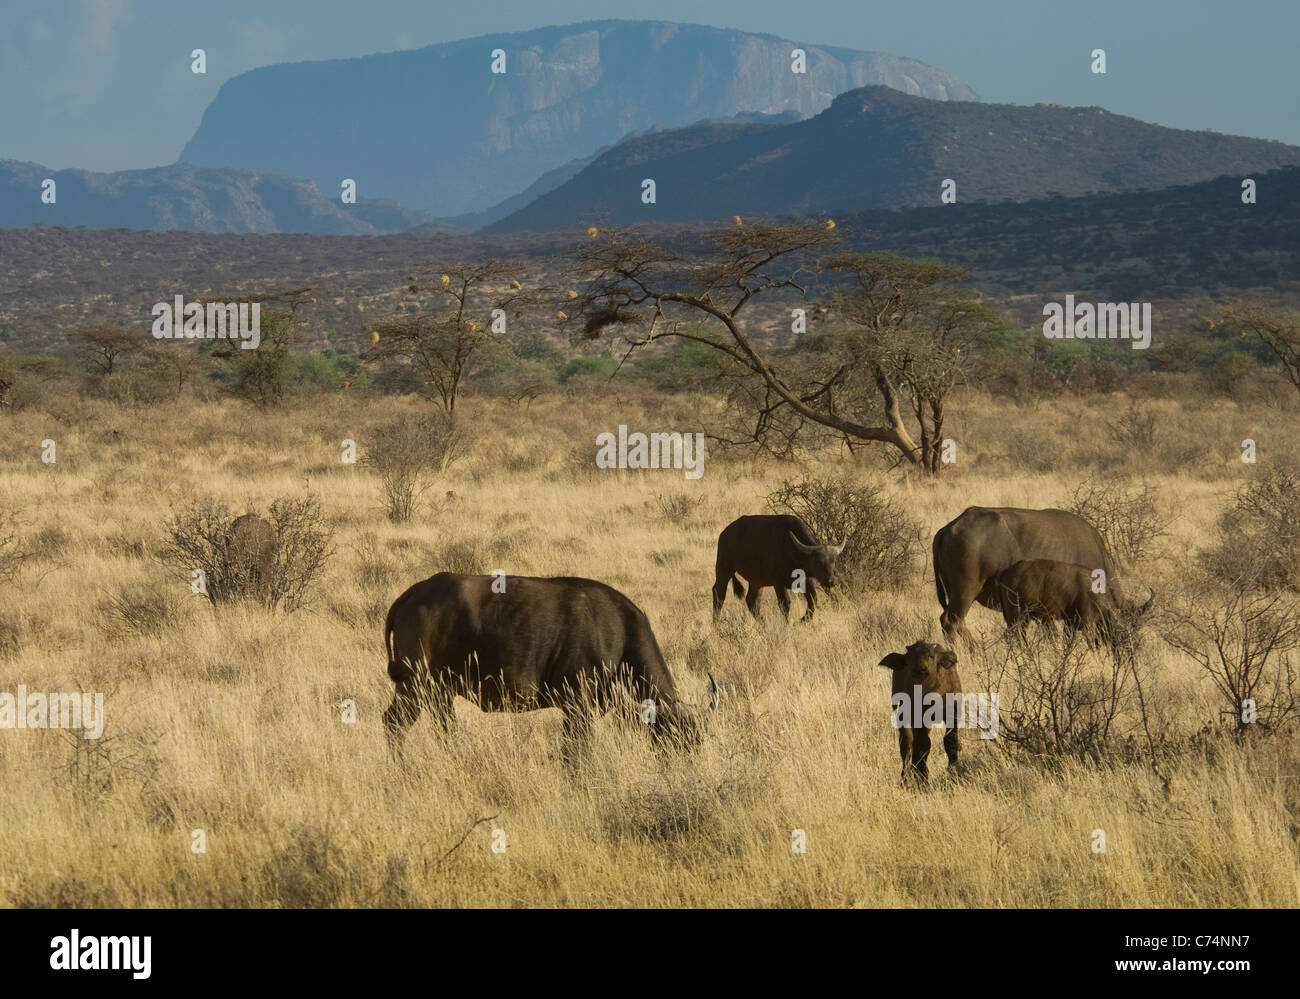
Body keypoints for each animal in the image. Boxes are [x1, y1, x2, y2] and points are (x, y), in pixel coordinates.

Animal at [383, 573, 717, 760]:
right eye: (671, 737)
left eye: (697, 741)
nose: (684, 767)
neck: (618, 631)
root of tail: (410, 595)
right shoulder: (578, 707)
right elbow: (577, 750)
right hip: (415, 686)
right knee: (393, 724)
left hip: (438, 692)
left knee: (442, 729)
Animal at [713, 515, 843, 622]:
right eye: (818, 562)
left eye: (833, 561)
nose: (831, 581)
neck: (792, 550)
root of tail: (724, 534)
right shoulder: (778, 582)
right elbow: (785, 604)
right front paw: (787, 624)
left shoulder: (807, 580)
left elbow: (813, 602)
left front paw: (802, 620)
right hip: (723, 569)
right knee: (719, 594)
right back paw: (716, 623)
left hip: (756, 581)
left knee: (752, 601)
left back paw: (763, 624)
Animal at [878, 641, 962, 783]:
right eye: (909, 658)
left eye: (931, 656)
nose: (919, 669)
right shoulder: (918, 719)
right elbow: (922, 745)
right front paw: (921, 776)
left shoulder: (953, 714)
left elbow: (950, 740)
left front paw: (954, 768)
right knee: (907, 744)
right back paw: (906, 776)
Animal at [993, 558, 1154, 649]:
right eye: (1124, 635)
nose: (1132, 648)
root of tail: (1005, 574)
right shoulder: (1088, 627)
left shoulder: (1070, 625)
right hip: (1015, 615)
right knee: (1011, 635)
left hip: (1024, 618)